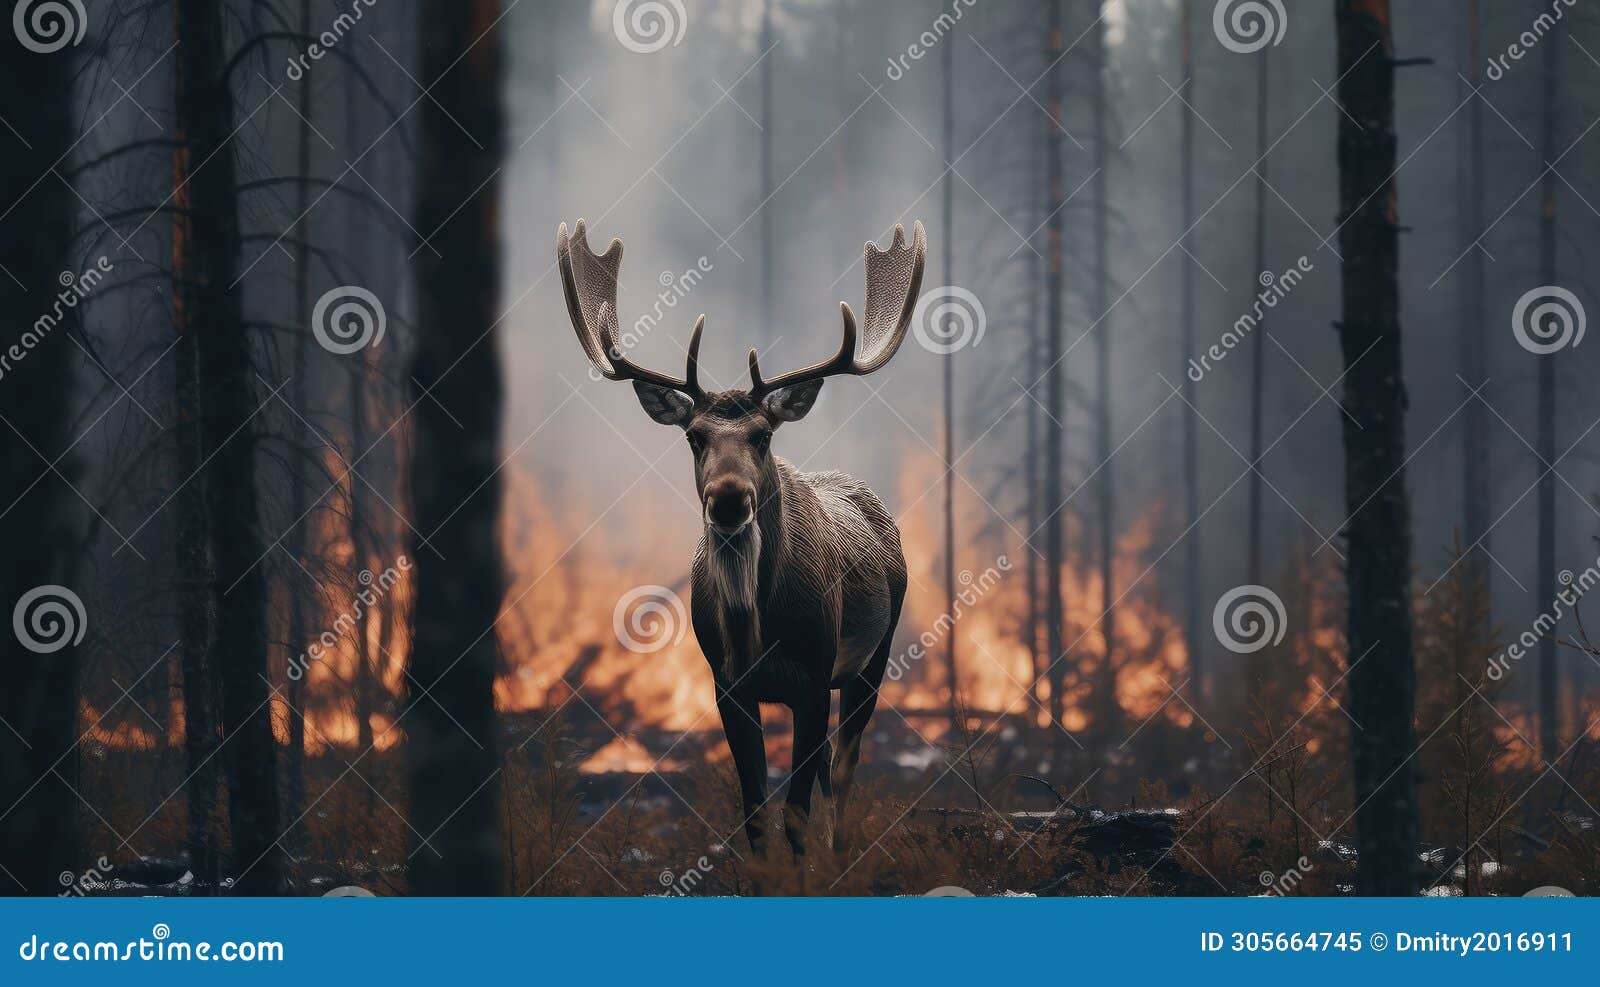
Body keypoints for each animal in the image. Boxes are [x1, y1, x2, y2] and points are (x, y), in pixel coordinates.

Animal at [557, 218, 925, 858]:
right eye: (695, 436)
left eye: (762, 435)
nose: (729, 498)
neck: (755, 627)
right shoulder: (726, 686)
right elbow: (755, 816)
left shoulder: (814, 675)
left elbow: (796, 814)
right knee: (828, 769)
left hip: (872, 658)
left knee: (845, 772)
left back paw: (840, 855)